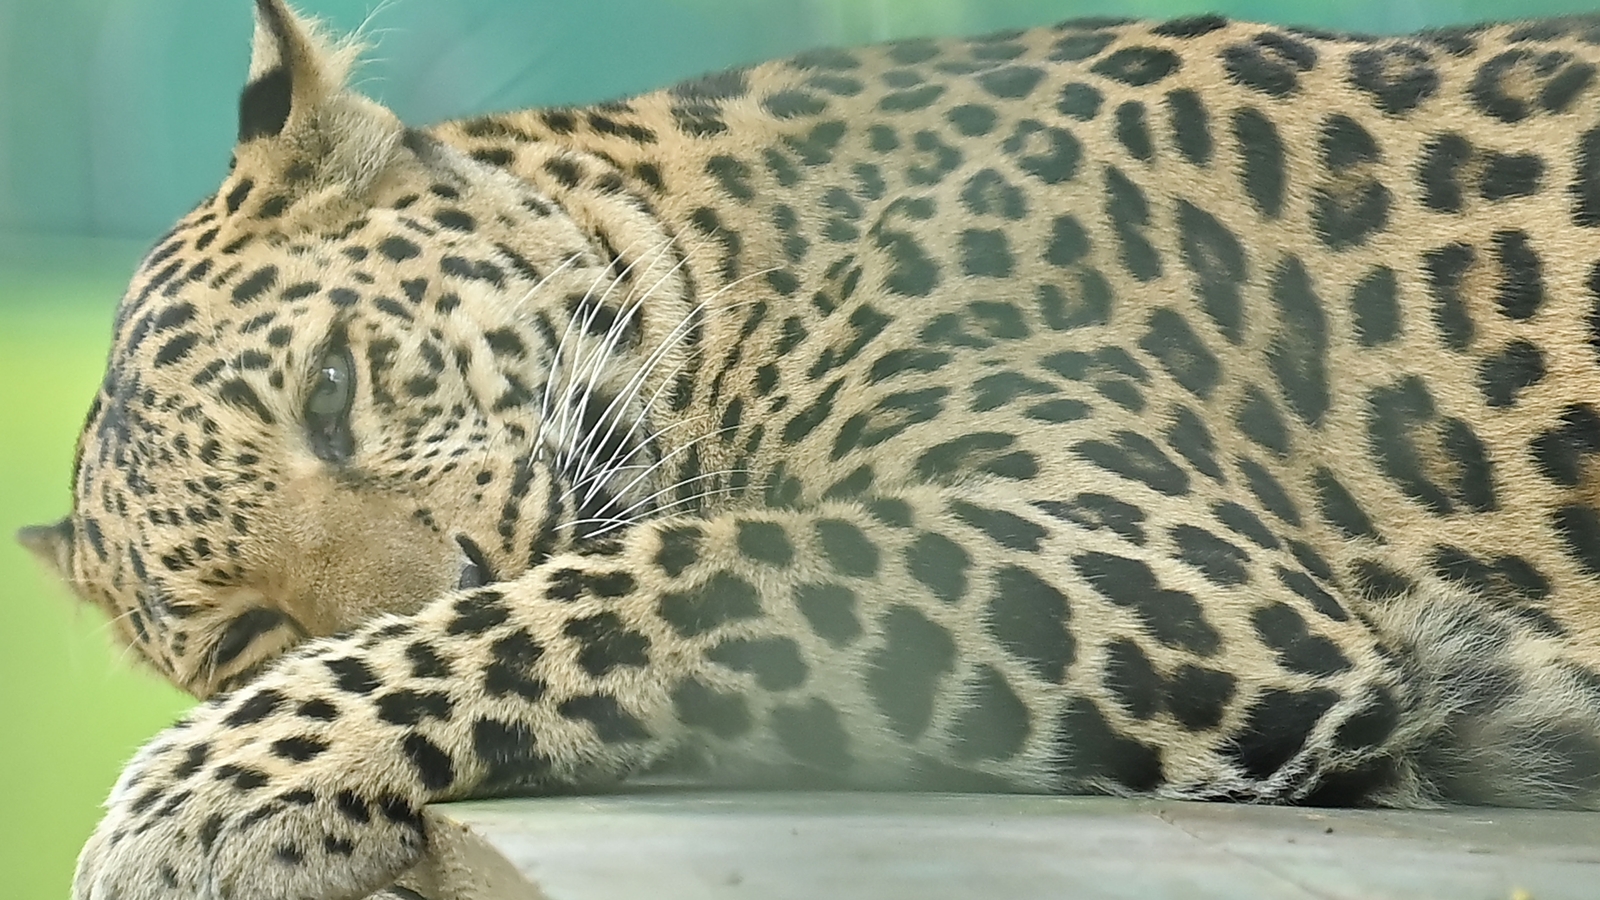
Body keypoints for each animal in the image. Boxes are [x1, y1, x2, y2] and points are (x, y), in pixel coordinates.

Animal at [24, 0, 1600, 897]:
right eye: (241, 628)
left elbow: (640, 583)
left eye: (336, 391)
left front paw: (192, 798)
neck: (731, 235)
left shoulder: (1147, 546)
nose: (449, 576)